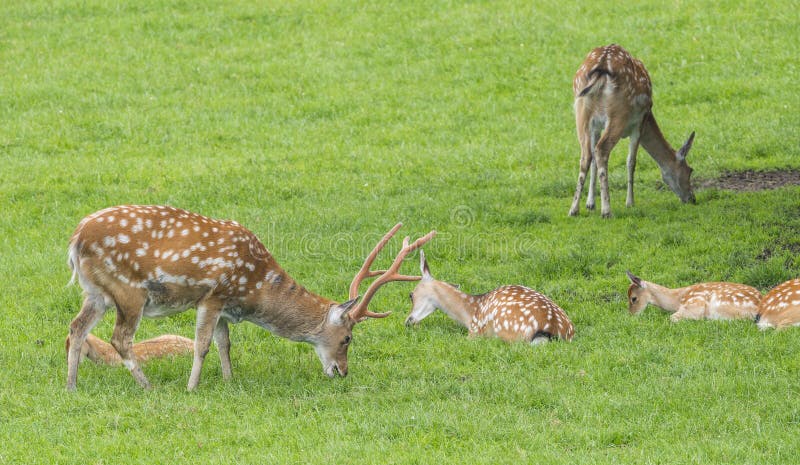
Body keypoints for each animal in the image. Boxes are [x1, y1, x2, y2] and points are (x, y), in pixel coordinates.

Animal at [66, 205, 435, 390]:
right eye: (347, 338)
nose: (342, 372)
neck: (253, 288)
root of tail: (74, 239)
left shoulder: (223, 305)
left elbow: (224, 343)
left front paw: (230, 381)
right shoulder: (212, 295)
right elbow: (202, 345)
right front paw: (192, 387)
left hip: (96, 292)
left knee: (76, 328)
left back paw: (71, 385)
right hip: (128, 291)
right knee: (120, 338)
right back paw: (148, 386)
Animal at [569, 44, 696, 218]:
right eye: (690, 171)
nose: (692, 198)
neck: (649, 117)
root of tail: (601, 67)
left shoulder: (596, 126)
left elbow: (593, 160)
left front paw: (590, 204)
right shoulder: (640, 121)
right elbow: (631, 161)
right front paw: (630, 203)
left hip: (580, 111)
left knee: (586, 154)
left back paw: (573, 209)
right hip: (619, 114)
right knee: (602, 150)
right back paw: (607, 211)